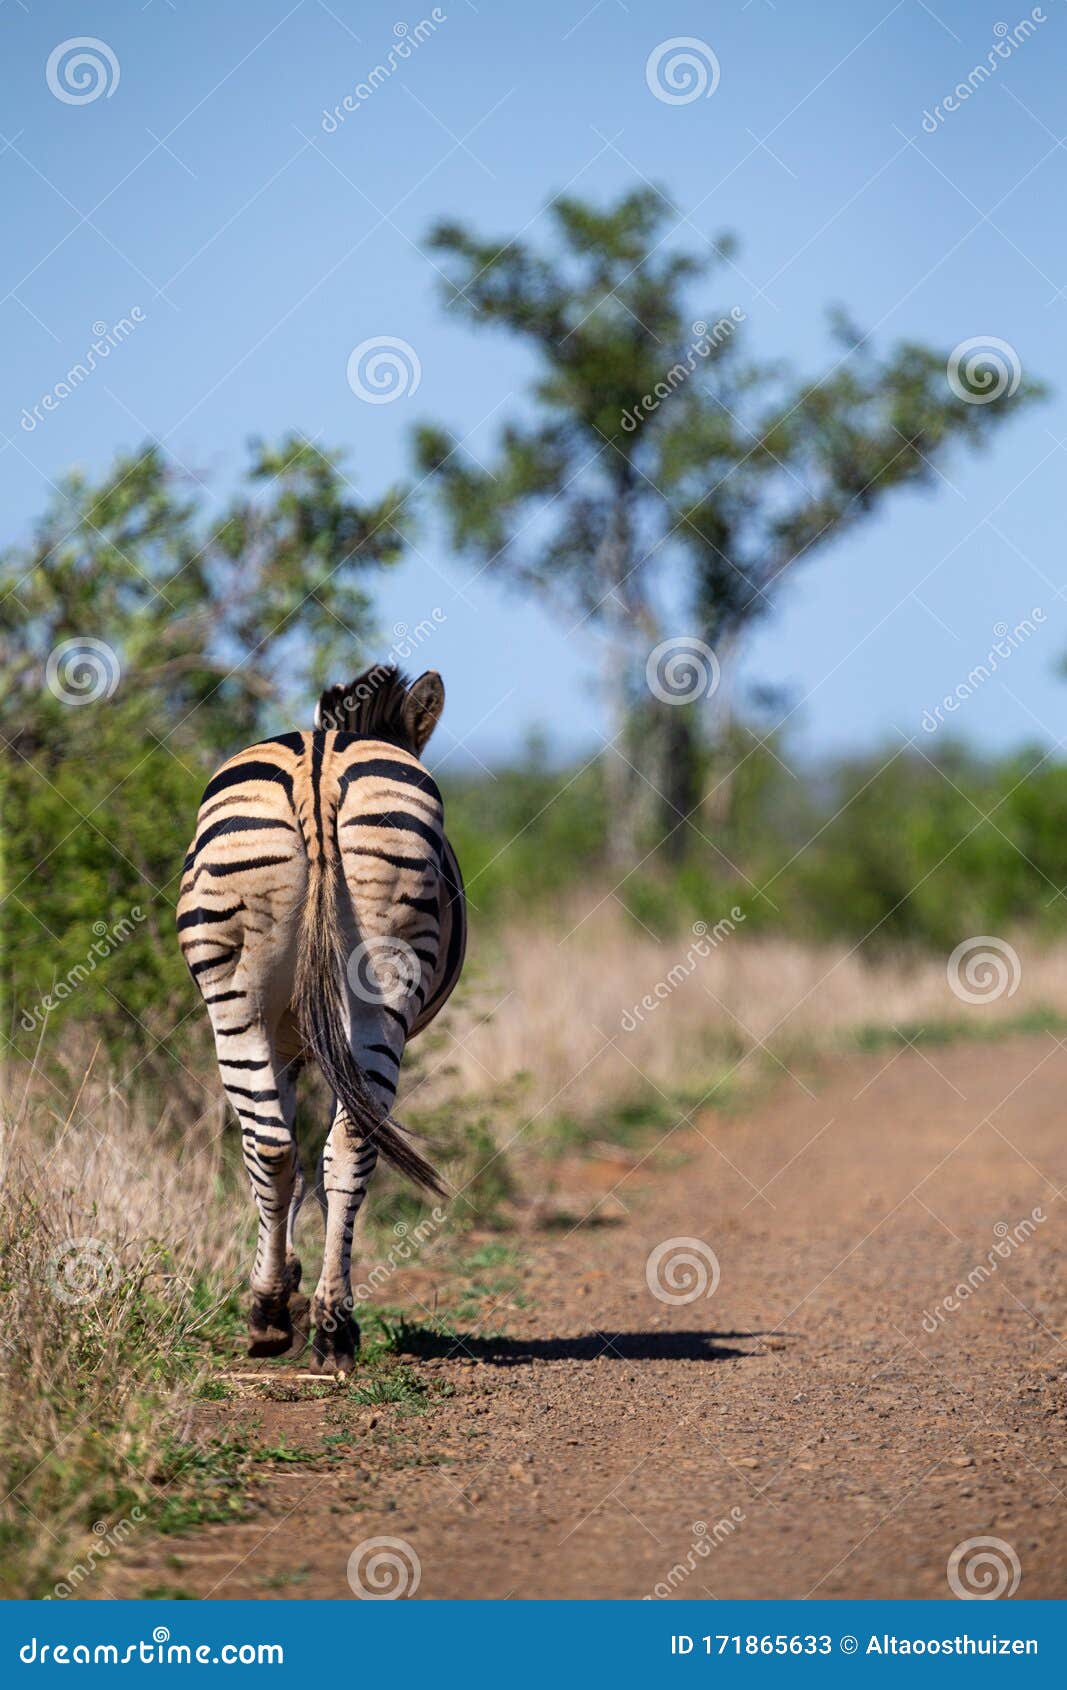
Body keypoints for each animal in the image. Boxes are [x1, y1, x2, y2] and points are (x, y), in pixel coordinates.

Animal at [176, 665, 466, 1375]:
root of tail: (318, 769)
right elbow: (308, 1156)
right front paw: (294, 1283)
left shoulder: (294, 1045)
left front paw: (286, 1283)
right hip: (364, 992)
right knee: (326, 1141)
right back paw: (324, 1326)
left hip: (247, 1001)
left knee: (281, 1145)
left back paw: (282, 1317)